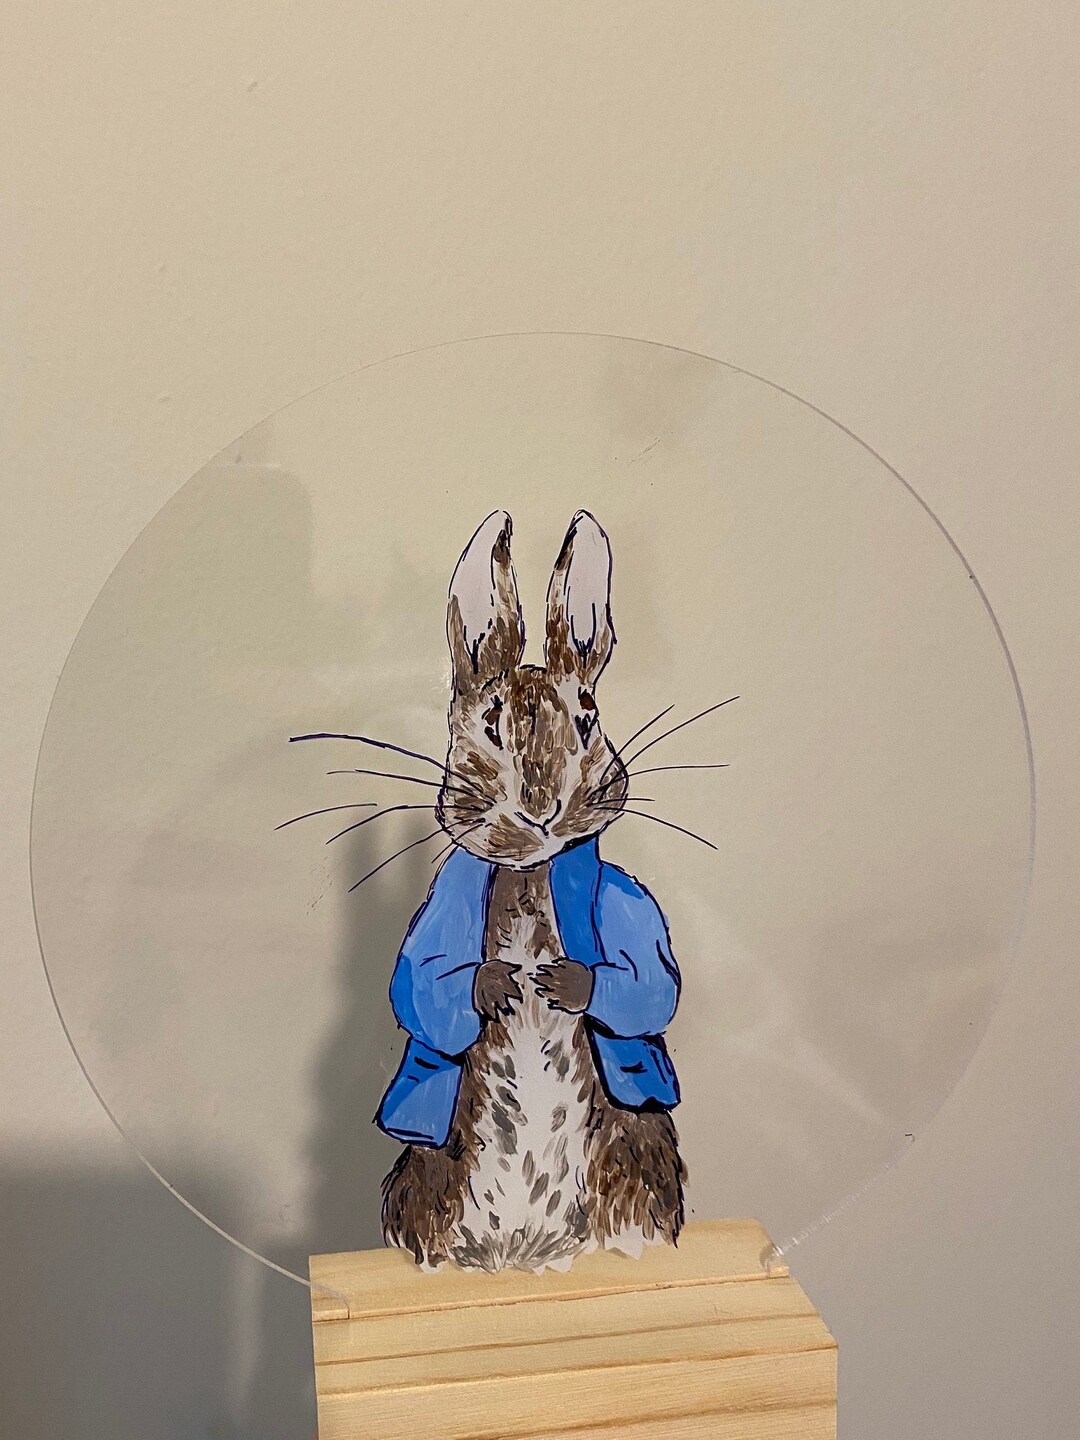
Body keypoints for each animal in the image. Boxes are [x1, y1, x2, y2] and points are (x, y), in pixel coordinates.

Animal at [378, 510, 686, 1273]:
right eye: (489, 724)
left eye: (588, 718)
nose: (542, 810)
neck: (532, 876)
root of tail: (530, 1257)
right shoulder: (432, 928)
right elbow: (419, 986)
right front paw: (498, 983)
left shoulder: (630, 907)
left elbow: (651, 984)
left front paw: (563, 982)